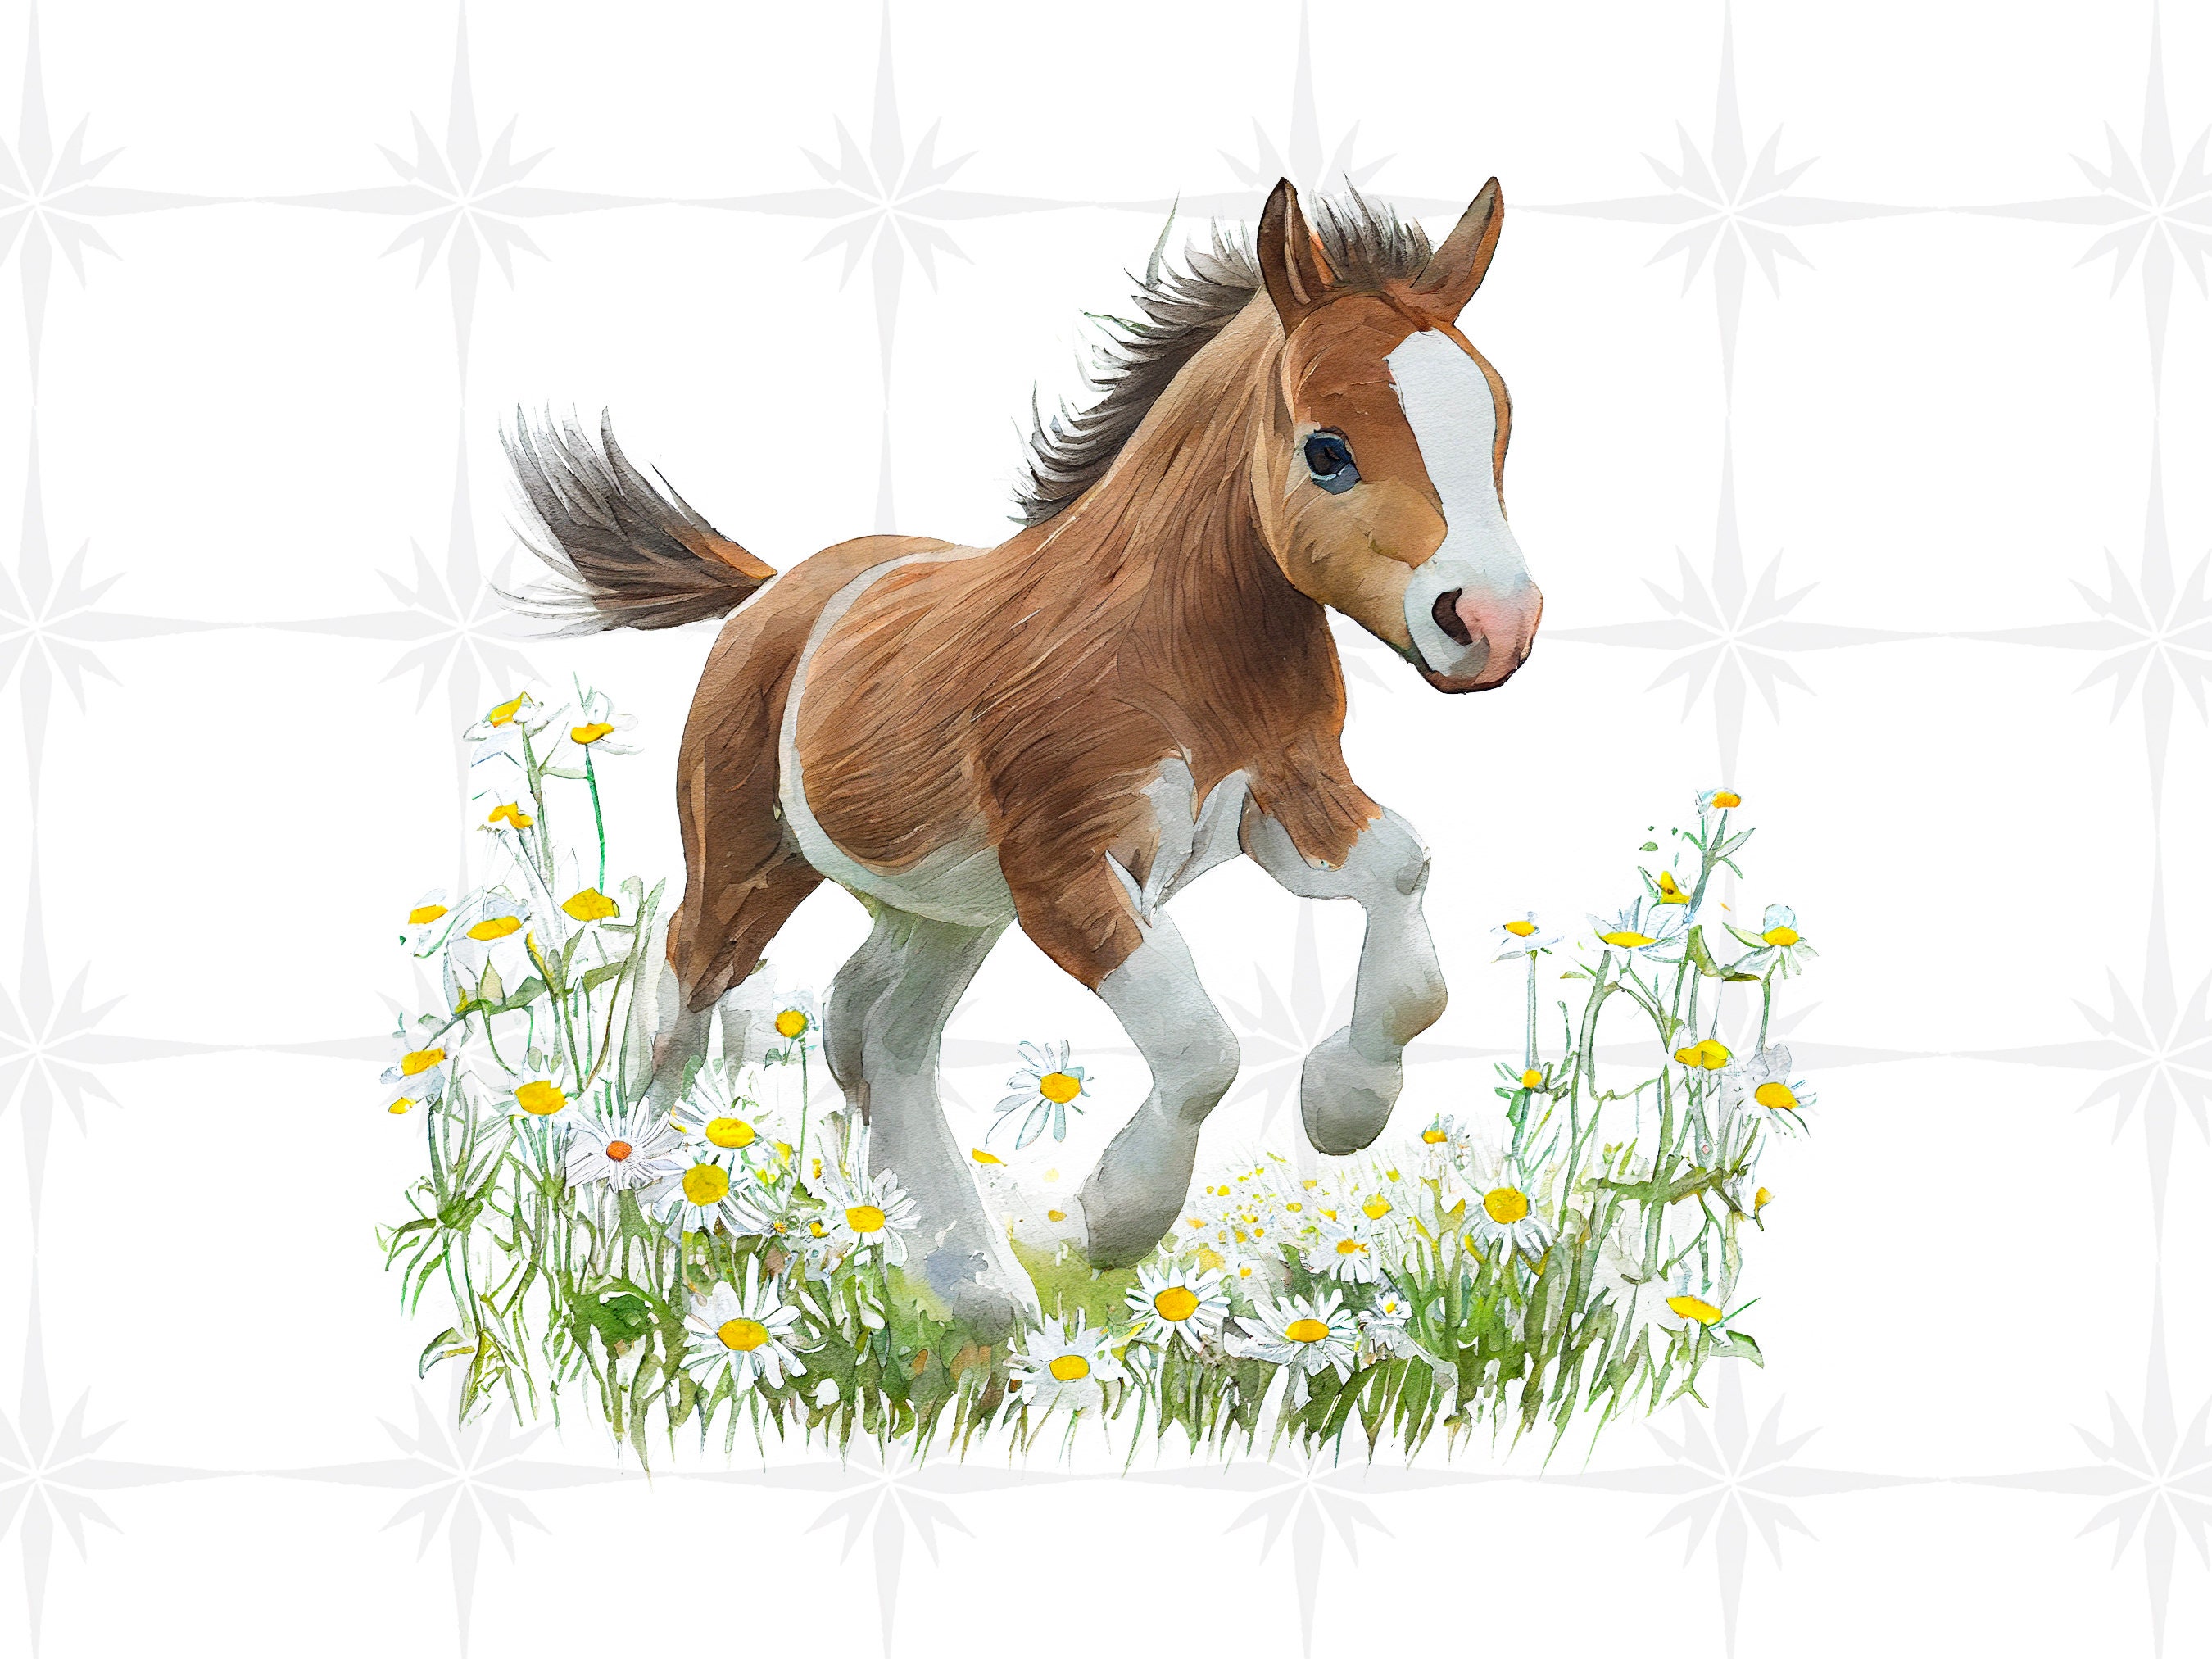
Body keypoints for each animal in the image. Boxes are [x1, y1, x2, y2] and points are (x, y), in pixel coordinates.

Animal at [502, 179, 1544, 1337]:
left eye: (1498, 423)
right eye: (1327, 449)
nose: (1494, 626)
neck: (1163, 640)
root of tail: (776, 588)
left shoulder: (1286, 794)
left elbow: (1404, 883)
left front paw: (1344, 1107)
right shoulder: (1064, 869)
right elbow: (1200, 1044)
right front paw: (1117, 1220)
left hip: (948, 907)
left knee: (877, 1028)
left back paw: (976, 1289)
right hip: (750, 856)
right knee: (687, 983)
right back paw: (621, 1210)